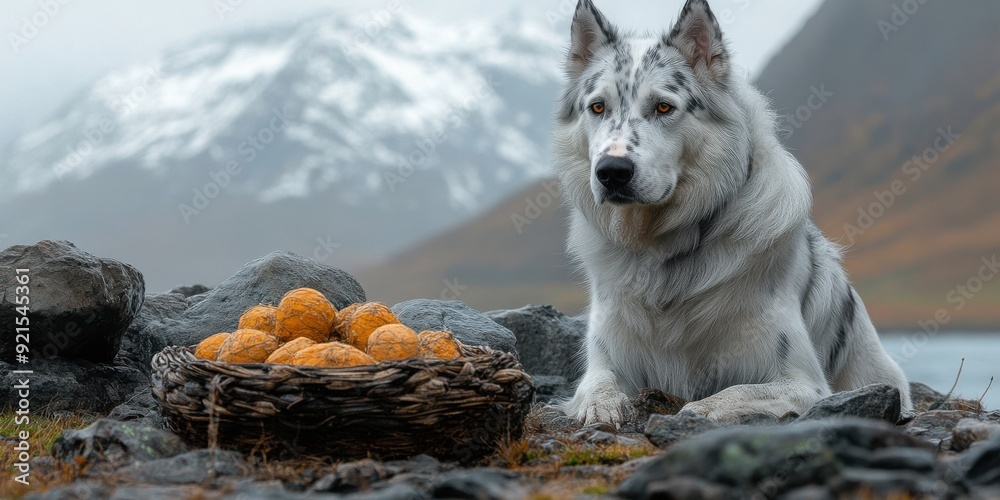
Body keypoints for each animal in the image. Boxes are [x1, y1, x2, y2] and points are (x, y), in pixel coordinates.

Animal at [555, 0, 911, 426]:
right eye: (597, 107)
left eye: (663, 106)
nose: (611, 172)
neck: (665, 255)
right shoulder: (607, 356)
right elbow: (597, 386)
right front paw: (601, 408)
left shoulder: (800, 382)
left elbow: (721, 397)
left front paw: (691, 413)